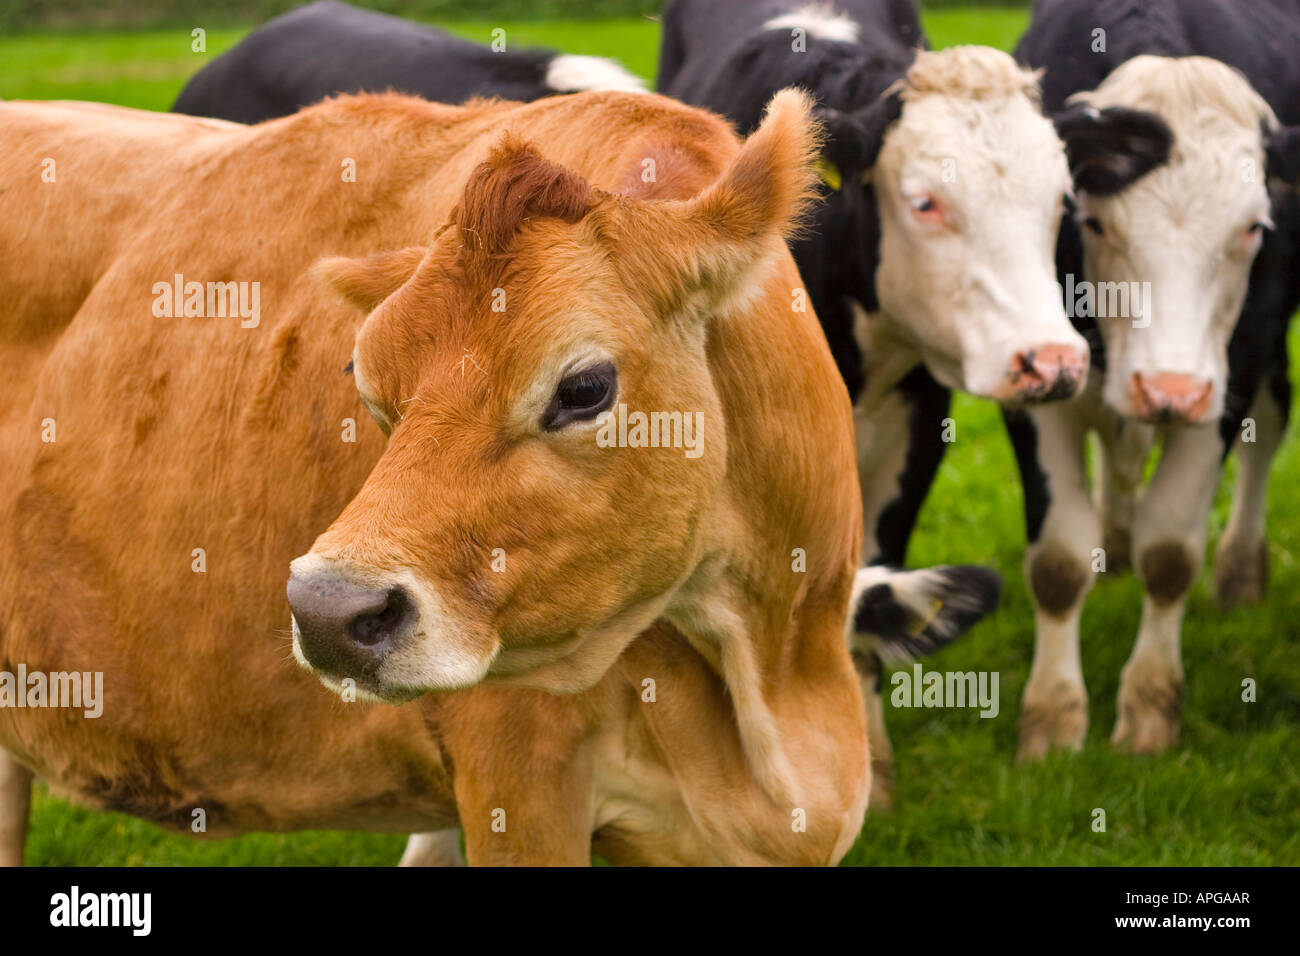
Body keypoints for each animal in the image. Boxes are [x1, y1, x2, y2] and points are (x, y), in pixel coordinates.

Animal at [1009, 0, 1300, 758]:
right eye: (1093, 221)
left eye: (1252, 229)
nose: (1169, 391)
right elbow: (1058, 561)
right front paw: (1052, 720)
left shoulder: (1228, 375)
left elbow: (1170, 550)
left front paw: (1149, 710)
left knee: (1270, 427)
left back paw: (1240, 570)